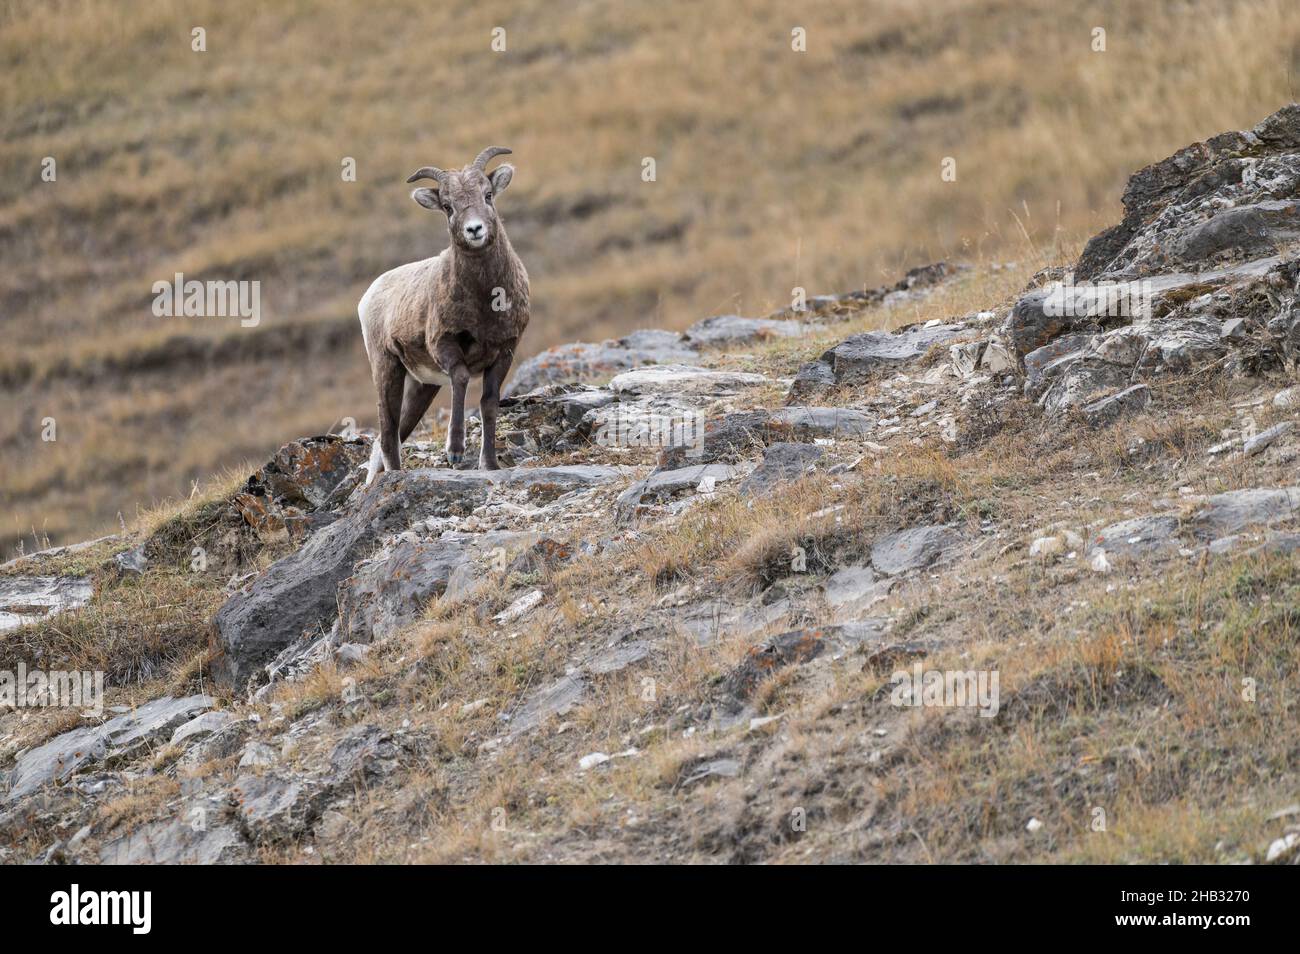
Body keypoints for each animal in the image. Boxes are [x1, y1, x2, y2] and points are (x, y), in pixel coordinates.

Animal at [358, 146, 529, 482]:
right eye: (448, 207)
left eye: (488, 194)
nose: (474, 229)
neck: (487, 301)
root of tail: (368, 296)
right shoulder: (444, 345)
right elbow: (460, 378)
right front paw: (455, 451)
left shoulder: (505, 351)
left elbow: (489, 403)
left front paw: (489, 464)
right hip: (387, 367)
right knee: (387, 433)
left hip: (422, 386)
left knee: (391, 435)